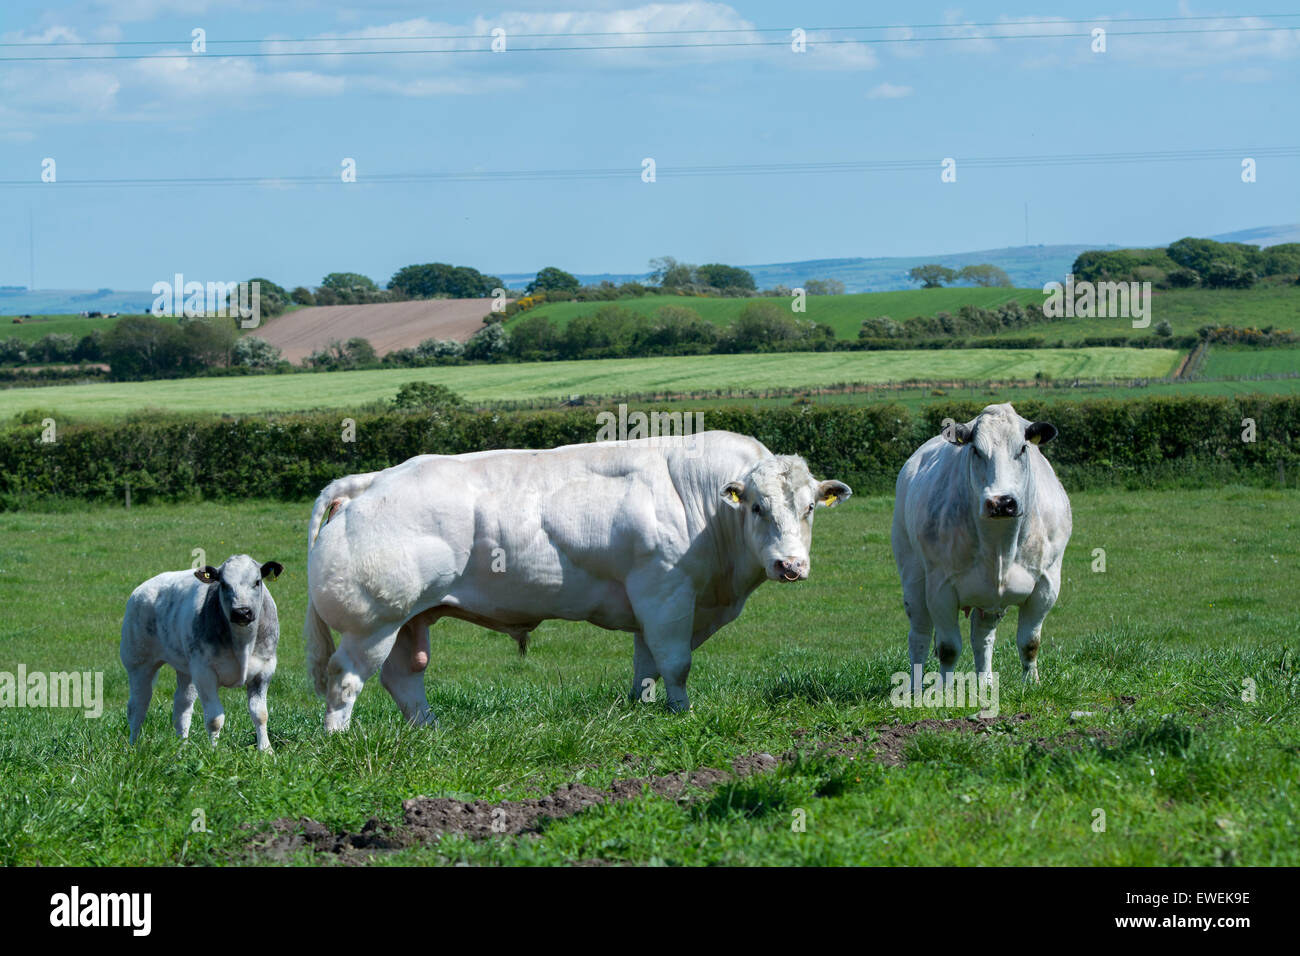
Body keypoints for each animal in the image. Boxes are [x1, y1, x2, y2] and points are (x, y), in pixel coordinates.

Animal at [120, 555, 284, 751]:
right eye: (224, 584)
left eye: (257, 582)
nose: (242, 612)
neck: (243, 643)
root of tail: (141, 590)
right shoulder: (205, 672)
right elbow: (215, 719)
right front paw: (214, 751)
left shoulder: (265, 670)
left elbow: (260, 713)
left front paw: (266, 750)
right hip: (138, 663)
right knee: (138, 706)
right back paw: (133, 747)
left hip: (187, 670)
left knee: (182, 707)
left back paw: (182, 748)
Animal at [304, 431, 852, 731]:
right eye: (757, 507)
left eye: (808, 507)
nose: (790, 566)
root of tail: (370, 480)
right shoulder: (666, 591)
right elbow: (675, 664)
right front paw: (684, 714)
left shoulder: (651, 603)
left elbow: (646, 668)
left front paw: (641, 711)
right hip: (373, 622)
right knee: (345, 678)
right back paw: (338, 740)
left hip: (409, 619)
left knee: (403, 677)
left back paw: (432, 729)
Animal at [891, 403, 1071, 693]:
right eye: (976, 450)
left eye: (1022, 448)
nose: (1001, 502)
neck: (999, 545)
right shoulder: (940, 589)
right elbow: (948, 648)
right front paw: (944, 691)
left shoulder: (1046, 584)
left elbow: (1030, 642)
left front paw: (1031, 684)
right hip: (913, 579)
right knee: (919, 635)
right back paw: (915, 688)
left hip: (988, 601)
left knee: (982, 636)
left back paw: (985, 682)